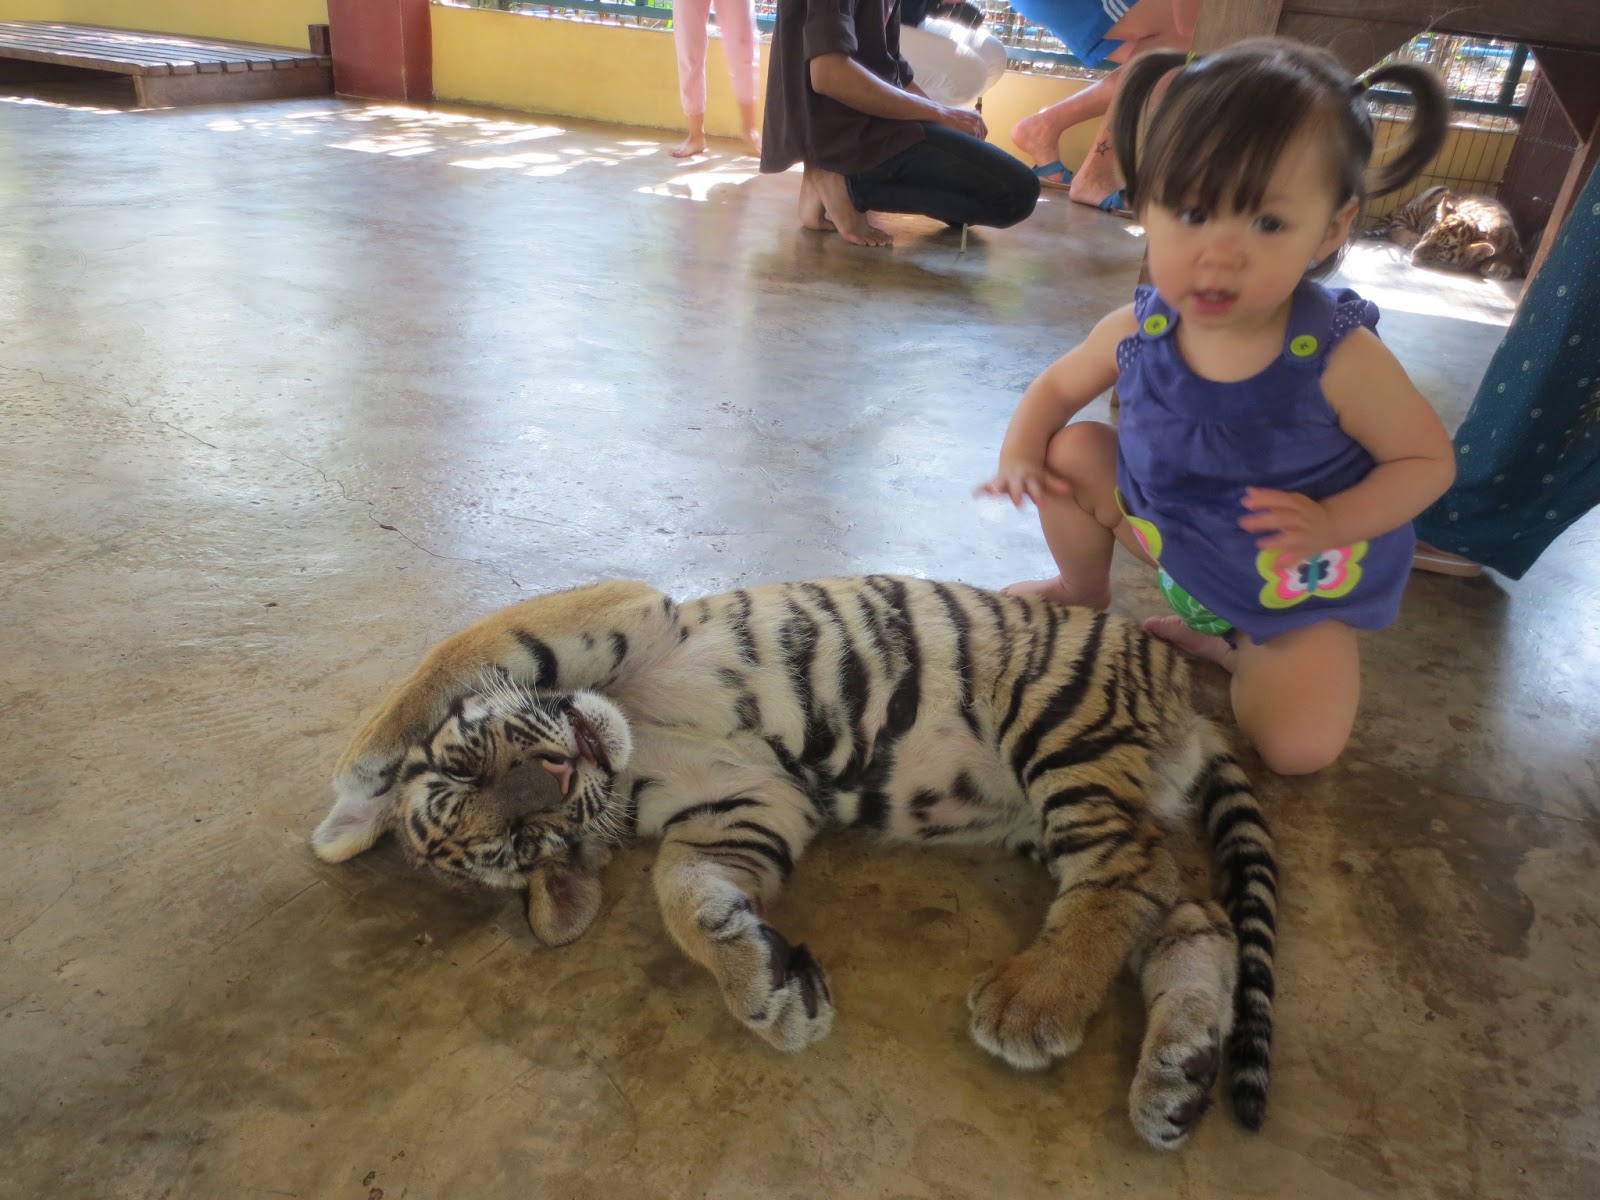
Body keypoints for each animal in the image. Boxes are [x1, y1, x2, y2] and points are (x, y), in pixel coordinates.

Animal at [312, 574, 1278, 1150]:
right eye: (524, 843)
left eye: (474, 767)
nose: (556, 773)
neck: (629, 748)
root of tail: (1189, 699)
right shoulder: (745, 804)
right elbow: (680, 889)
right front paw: (767, 986)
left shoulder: (624, 604)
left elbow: (457, 655)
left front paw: (359, 778)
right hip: (1057, 806)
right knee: (1188, 909)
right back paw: (1177, 1074)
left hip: (1059, 727)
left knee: (1138, 872)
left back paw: (1032, 1004)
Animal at [1365, 183, 1524, 279]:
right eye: (1428, 234)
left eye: (1442, 247)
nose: (1414, 253)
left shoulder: (1515, 244)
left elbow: (1514, 257)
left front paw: (1498, 267)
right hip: (1424, 200)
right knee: (1396, 225)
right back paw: (1411, 239)